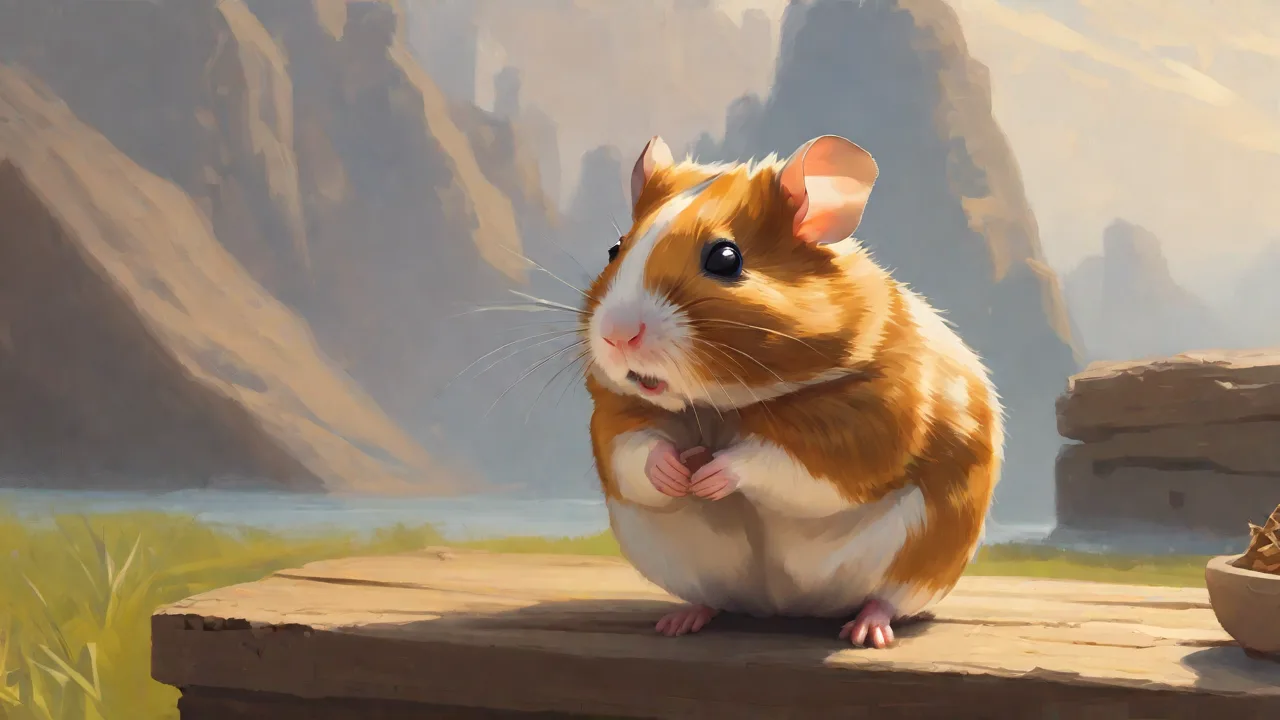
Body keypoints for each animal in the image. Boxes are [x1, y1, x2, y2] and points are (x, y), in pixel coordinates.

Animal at [581, 133, 1004, 649]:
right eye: (614, 249)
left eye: (725, 259)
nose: (617, 336)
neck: (722, 405)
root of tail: (786, 606)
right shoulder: (614, 416)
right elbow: (635, 452)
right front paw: (677, 474)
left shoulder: (867, 426)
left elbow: (775, 462)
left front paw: (709, 477)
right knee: (712, 599)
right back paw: (679, 621)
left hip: (921, 565)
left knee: (886, 600)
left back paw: (867, 631)